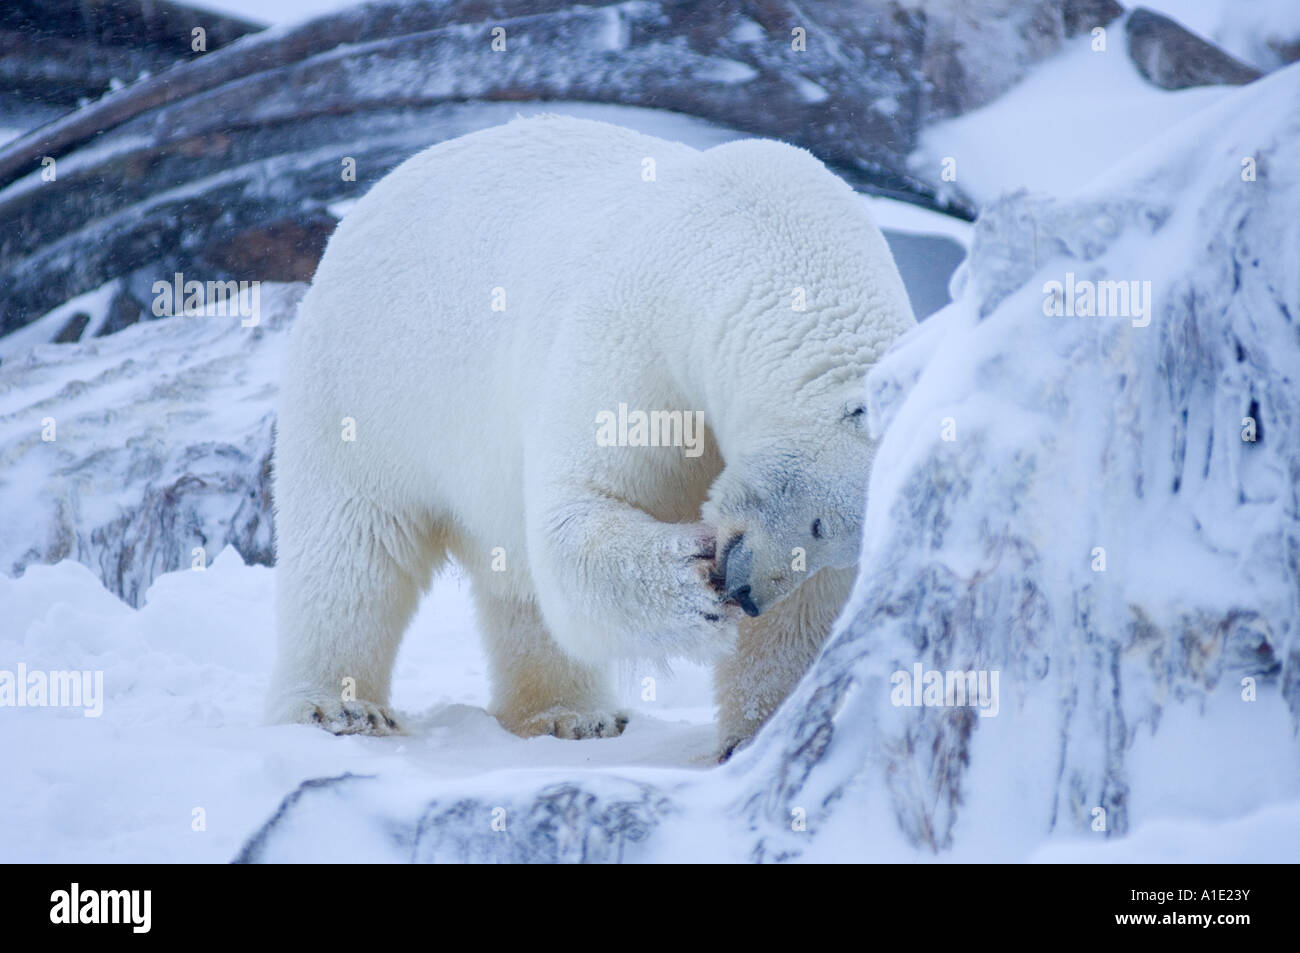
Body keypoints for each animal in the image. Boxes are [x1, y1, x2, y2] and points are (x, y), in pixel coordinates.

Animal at [266, 115, 915, 756]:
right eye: (819, 523)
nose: (747, 592)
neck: (751, 235)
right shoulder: (640, 337)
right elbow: (578, 510)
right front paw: (694, 580)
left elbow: (805, 610)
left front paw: (758, 733)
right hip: (369, 389)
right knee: (353, 550)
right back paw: (341, 707)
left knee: (515, 589)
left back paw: (568, 717)